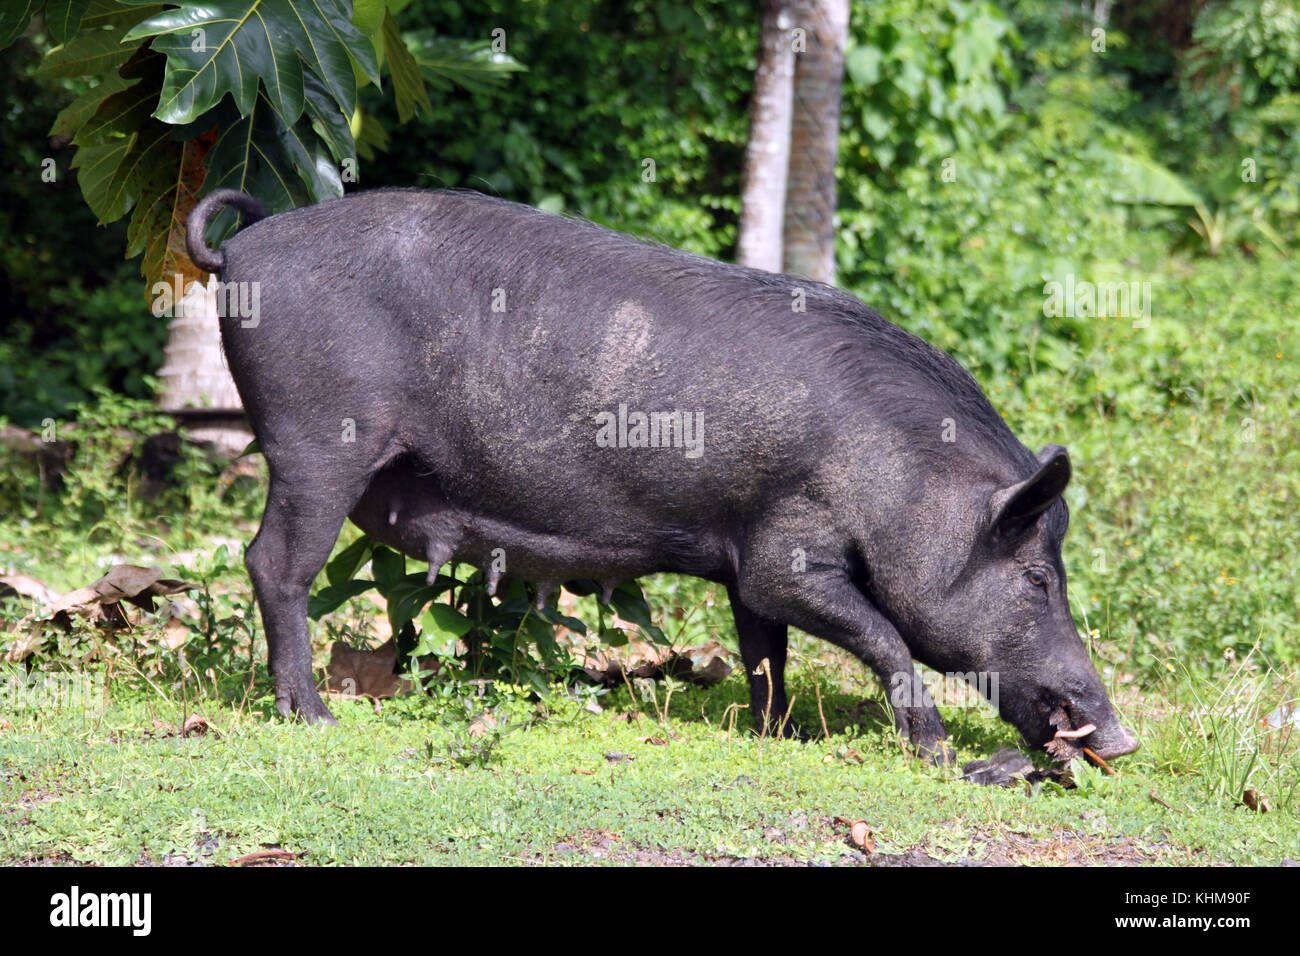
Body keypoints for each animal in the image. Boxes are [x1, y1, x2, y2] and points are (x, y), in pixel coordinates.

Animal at [186, 187, 1139, 764]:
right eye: (1038, 577)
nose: (1126, 741)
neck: (901, 489)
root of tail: (244, 251)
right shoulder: (788, 549)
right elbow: (883, 636)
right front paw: (934, 751)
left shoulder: (748, 561)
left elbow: (765, 651)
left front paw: (774, 733)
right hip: (316, 441)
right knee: (274, 563)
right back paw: (312, 716)